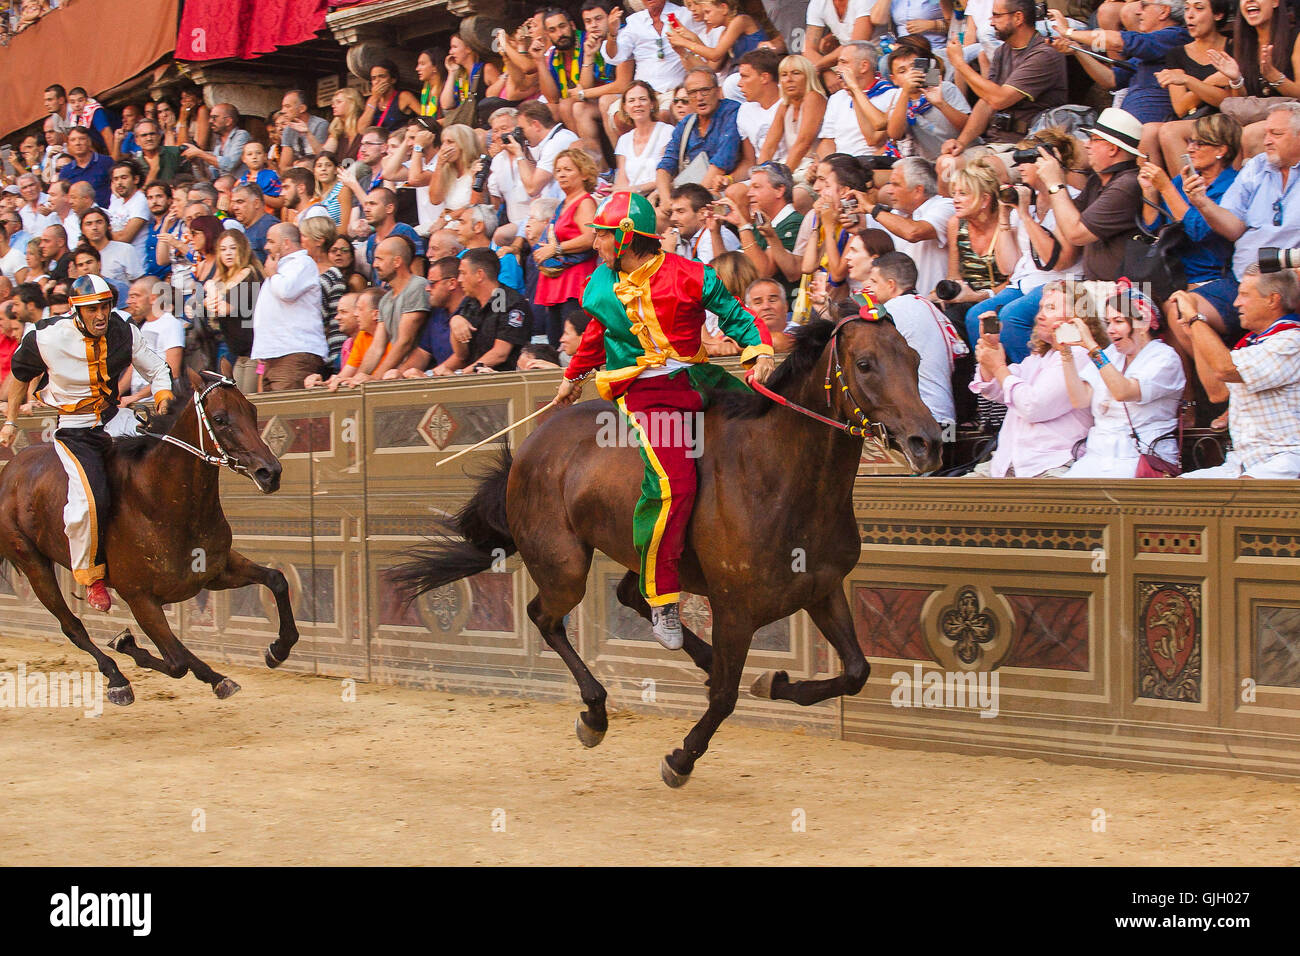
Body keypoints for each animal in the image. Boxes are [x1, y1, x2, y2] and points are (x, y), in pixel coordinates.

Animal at [0, 368, 300, 705]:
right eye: (220, 418)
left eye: (252, 410)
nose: (270, 472)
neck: (160, 502)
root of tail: (10, 469)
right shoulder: (140, 598)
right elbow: (176, 662)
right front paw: (125, 646)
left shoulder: (213, 572)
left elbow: (277, 579)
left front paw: (277, 650)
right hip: (33, 563)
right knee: (72, 626)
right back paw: (117, 678)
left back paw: (217, 677)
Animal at [394, 312, 943, 787]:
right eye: (865, 364)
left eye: (915, 358)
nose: (928, 442)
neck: (778, 477)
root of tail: (533, 444)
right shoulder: (735, 607)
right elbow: (724, 697)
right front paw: (681, 758)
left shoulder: (822, 589)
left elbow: (855, 671)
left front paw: (771, 683)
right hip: (563, 564)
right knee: (545, 616)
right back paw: (595, 713)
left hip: (641, 555)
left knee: (632, 597)